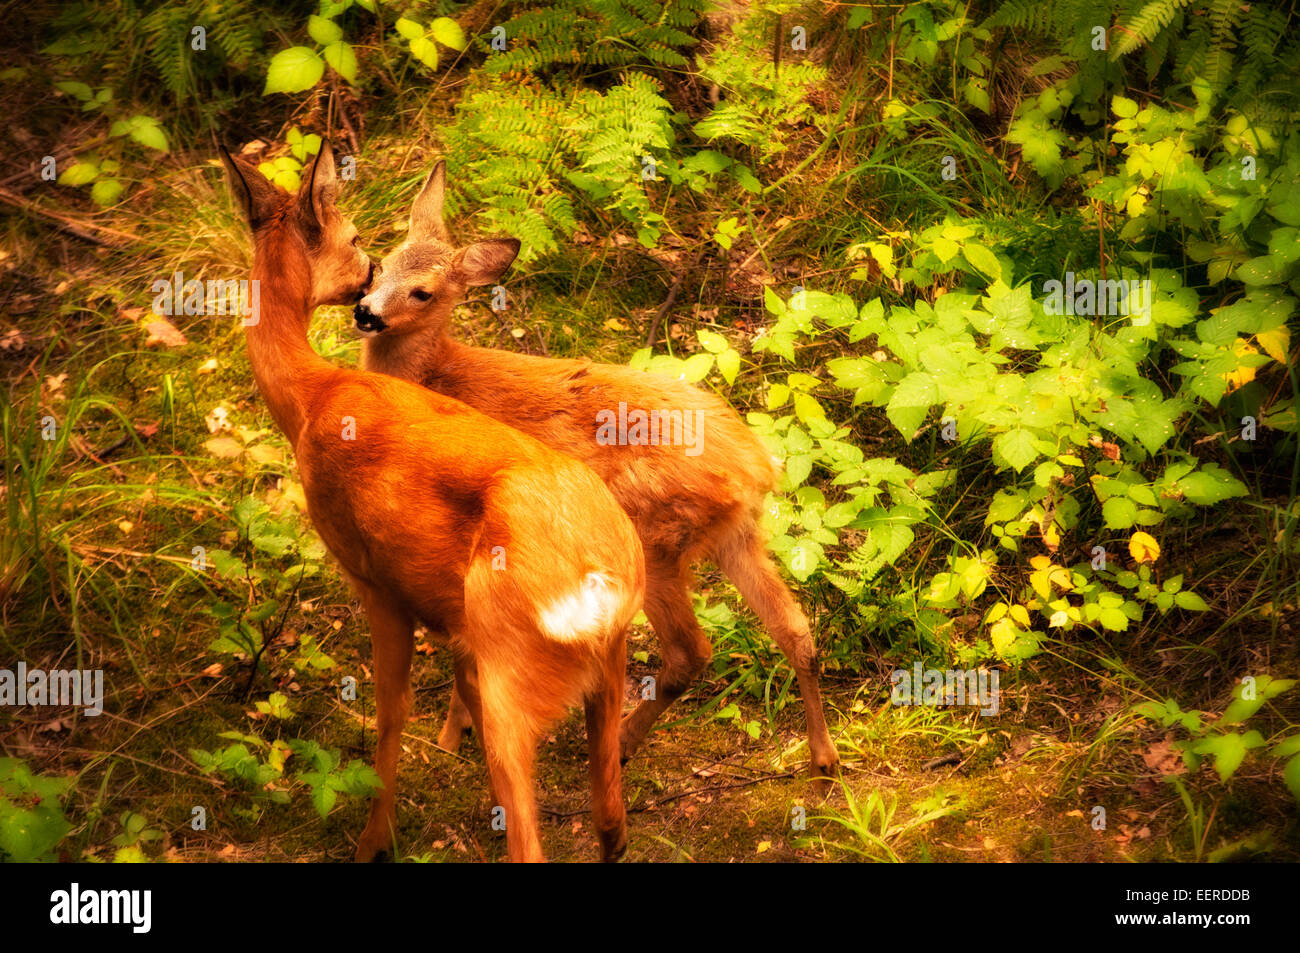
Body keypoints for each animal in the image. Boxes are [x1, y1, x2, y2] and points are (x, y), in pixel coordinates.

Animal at [220, 141, 644, 862]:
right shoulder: (449, 621)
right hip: (602, 669)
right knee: (611, 821)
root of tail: (600, 584)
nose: (362, 290)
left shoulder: (375, 578)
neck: (312, 396)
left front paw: (373, 839)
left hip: (513, 663)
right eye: (363, 243)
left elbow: (392, 712)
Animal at [352, 161, 840, 783]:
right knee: (796, 629)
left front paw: (451, 735)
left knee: (692, 652)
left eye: (424, 291)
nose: (366, 311)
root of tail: (754, 470)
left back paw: (623, 741)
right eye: (383, 262)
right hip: (738, 537)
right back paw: (824, 755)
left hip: (655, 541)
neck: (433, 377)